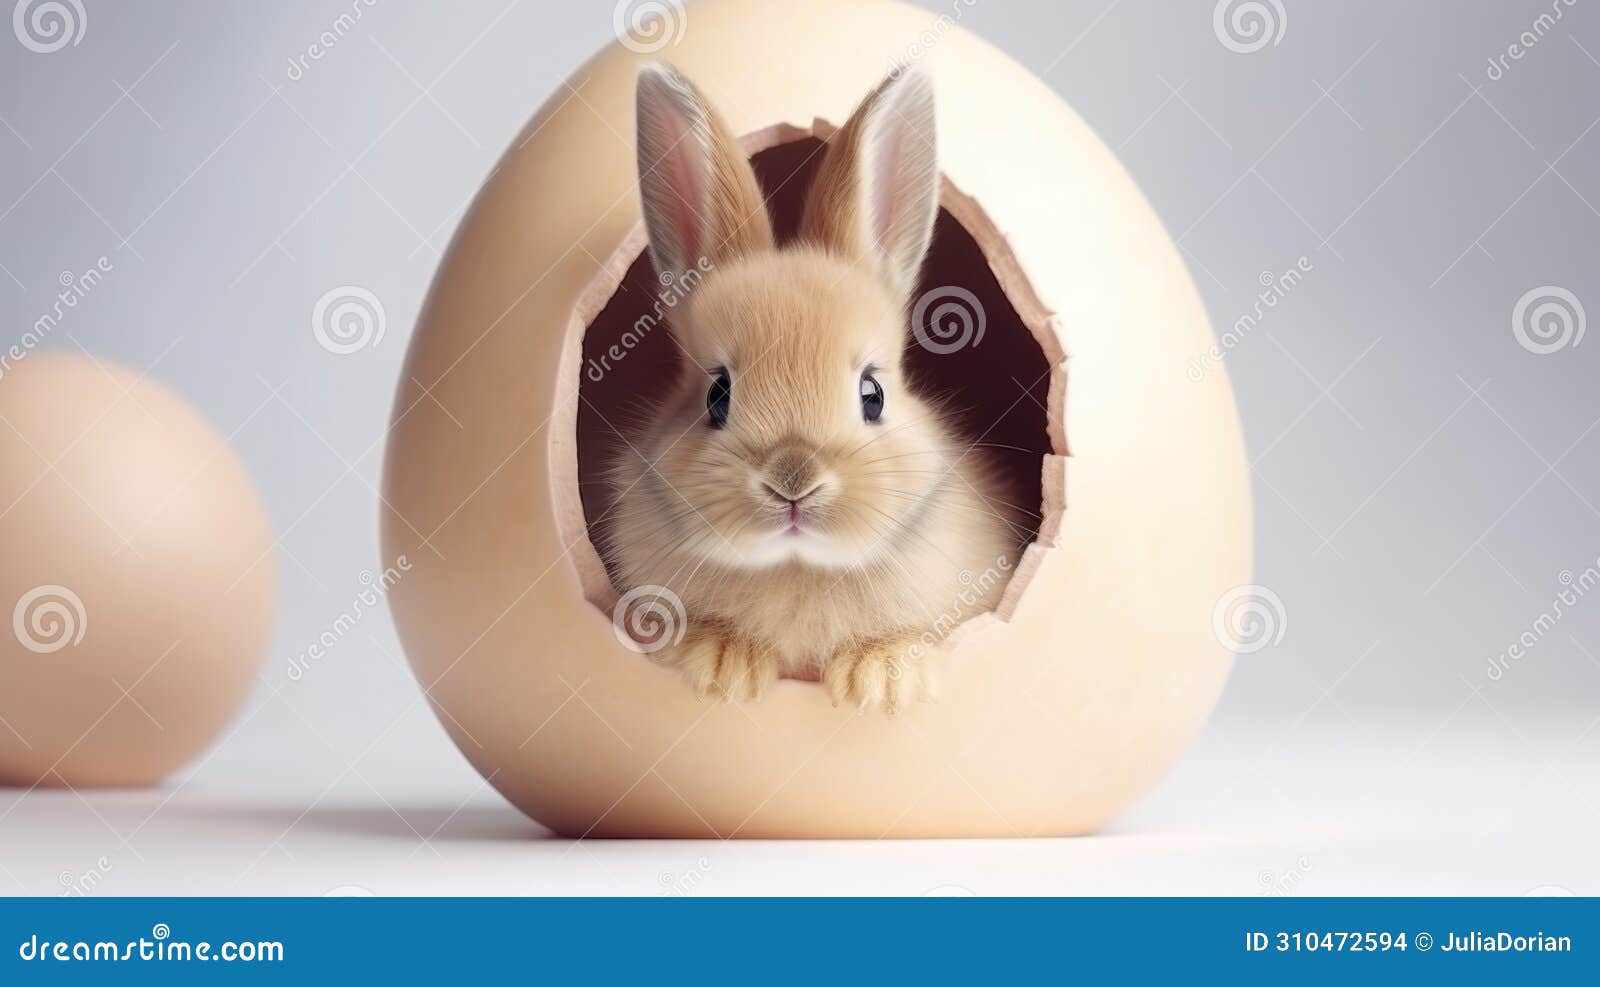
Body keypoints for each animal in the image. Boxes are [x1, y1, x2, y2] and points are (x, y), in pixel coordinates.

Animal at [600, 62, 1025, 713]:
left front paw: (878, 678)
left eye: (873, 395)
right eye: (717, 395)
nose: (793, 482)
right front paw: (725, 665)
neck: (797, 565)